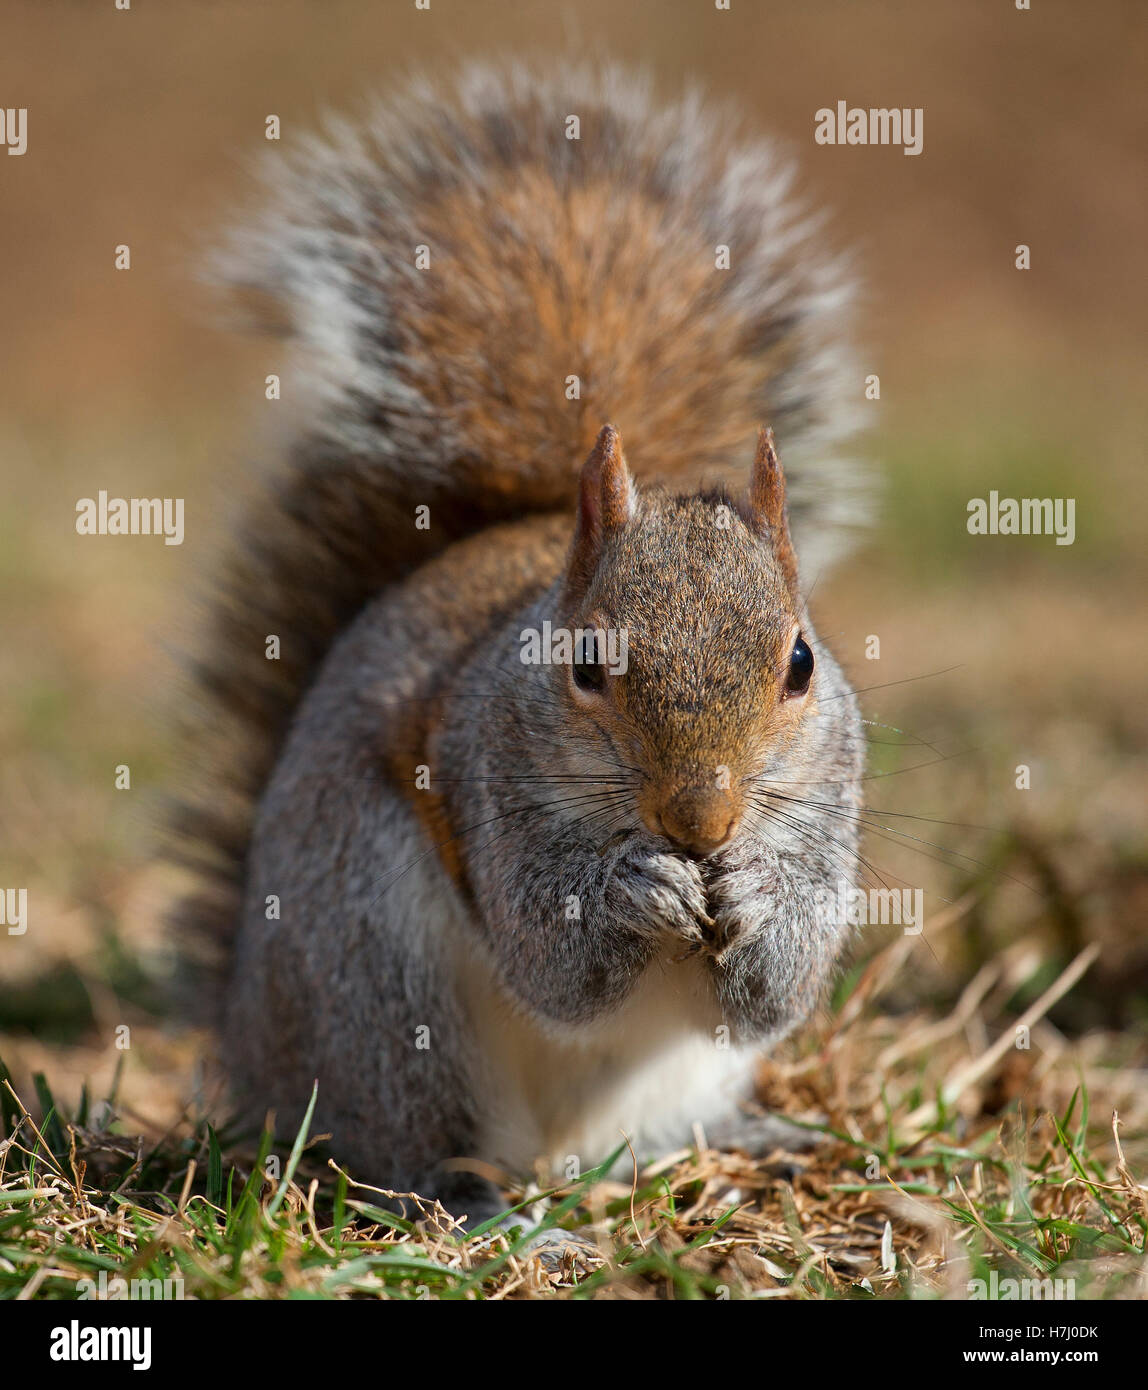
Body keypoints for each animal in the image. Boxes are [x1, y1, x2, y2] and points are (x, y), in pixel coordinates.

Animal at [169, 64, 869, 1228]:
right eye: (584, 666)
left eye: (801, 664)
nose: (700, 821)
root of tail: (251, 1043)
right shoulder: (479, 774)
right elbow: (554, 966)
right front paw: (632, 888)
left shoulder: (828, 807)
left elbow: (777, 989)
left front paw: (758, 893)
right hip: (371, 974)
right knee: (411, 1140)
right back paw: (480, 1206)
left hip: (671, 1077)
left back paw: (747, 1139)